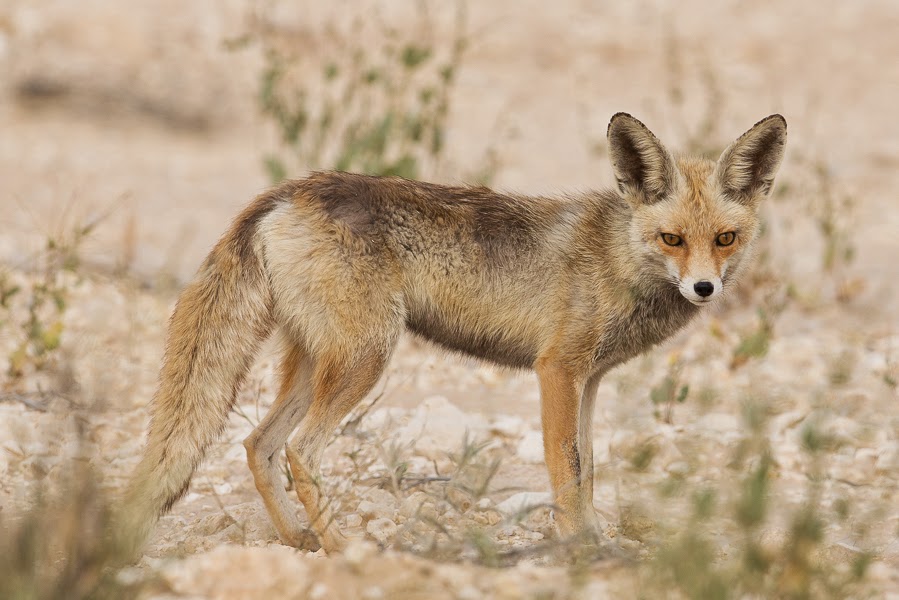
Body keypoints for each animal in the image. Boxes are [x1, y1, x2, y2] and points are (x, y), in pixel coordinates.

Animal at [119, 112, 786, 556]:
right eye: (672, 239)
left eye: (724, 238)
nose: (704, 288)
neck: (616, 258)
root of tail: (288, 190)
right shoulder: (557, 370)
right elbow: (565, 470)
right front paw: (578, 547)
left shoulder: (590, 380)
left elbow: (589, 468)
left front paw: (595, 539)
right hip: (365, 358)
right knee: (299, 452)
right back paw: (346, 551)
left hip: (317, 361)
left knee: (257, 444)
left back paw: (298, 540)